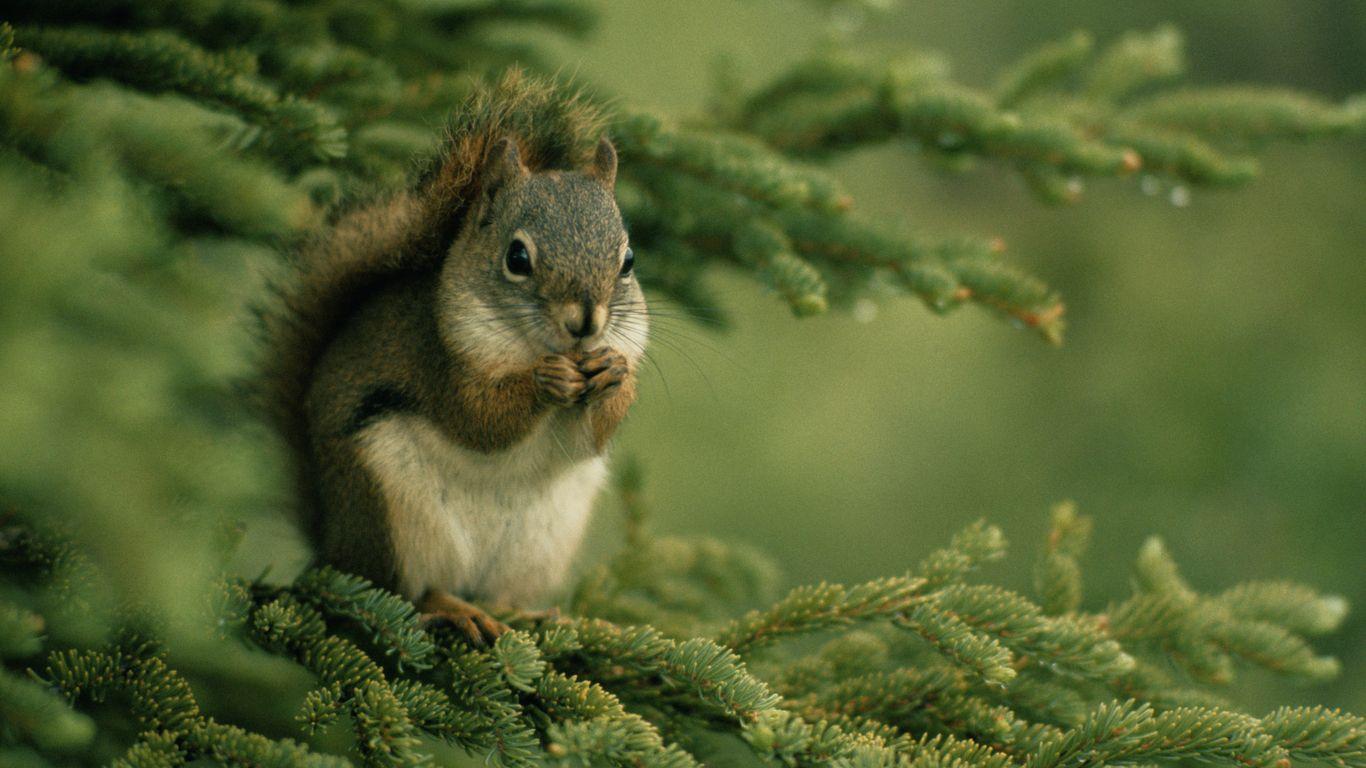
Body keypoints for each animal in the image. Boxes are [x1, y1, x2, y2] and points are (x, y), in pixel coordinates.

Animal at [254, 72, 647, 642]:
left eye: (628, 260)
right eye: (517, 257)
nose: (585, 323)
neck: (537, 344)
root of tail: (333, 545)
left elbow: (590, 436)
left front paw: (614, 375)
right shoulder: (438, 361)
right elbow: (477, 420)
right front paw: (542, 381)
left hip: (541, 542)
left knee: (498, 594)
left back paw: (528, 614)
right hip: (392, 511)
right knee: (405, 591)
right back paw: (452, 608)